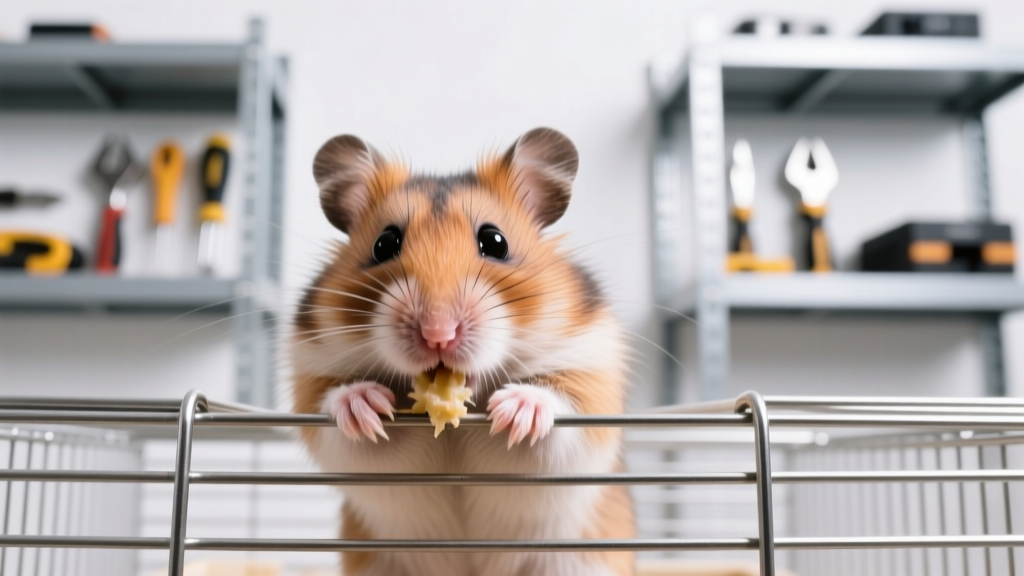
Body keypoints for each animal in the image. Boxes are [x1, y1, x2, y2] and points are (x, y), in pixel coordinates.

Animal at [291, 127, 634, 576]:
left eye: (495, 241)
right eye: (385, 243)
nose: (438, 334)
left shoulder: (590, 373)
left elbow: (560, 416)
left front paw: (516, 410)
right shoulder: (316, 382)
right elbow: (350, 429)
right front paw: (365, 403)